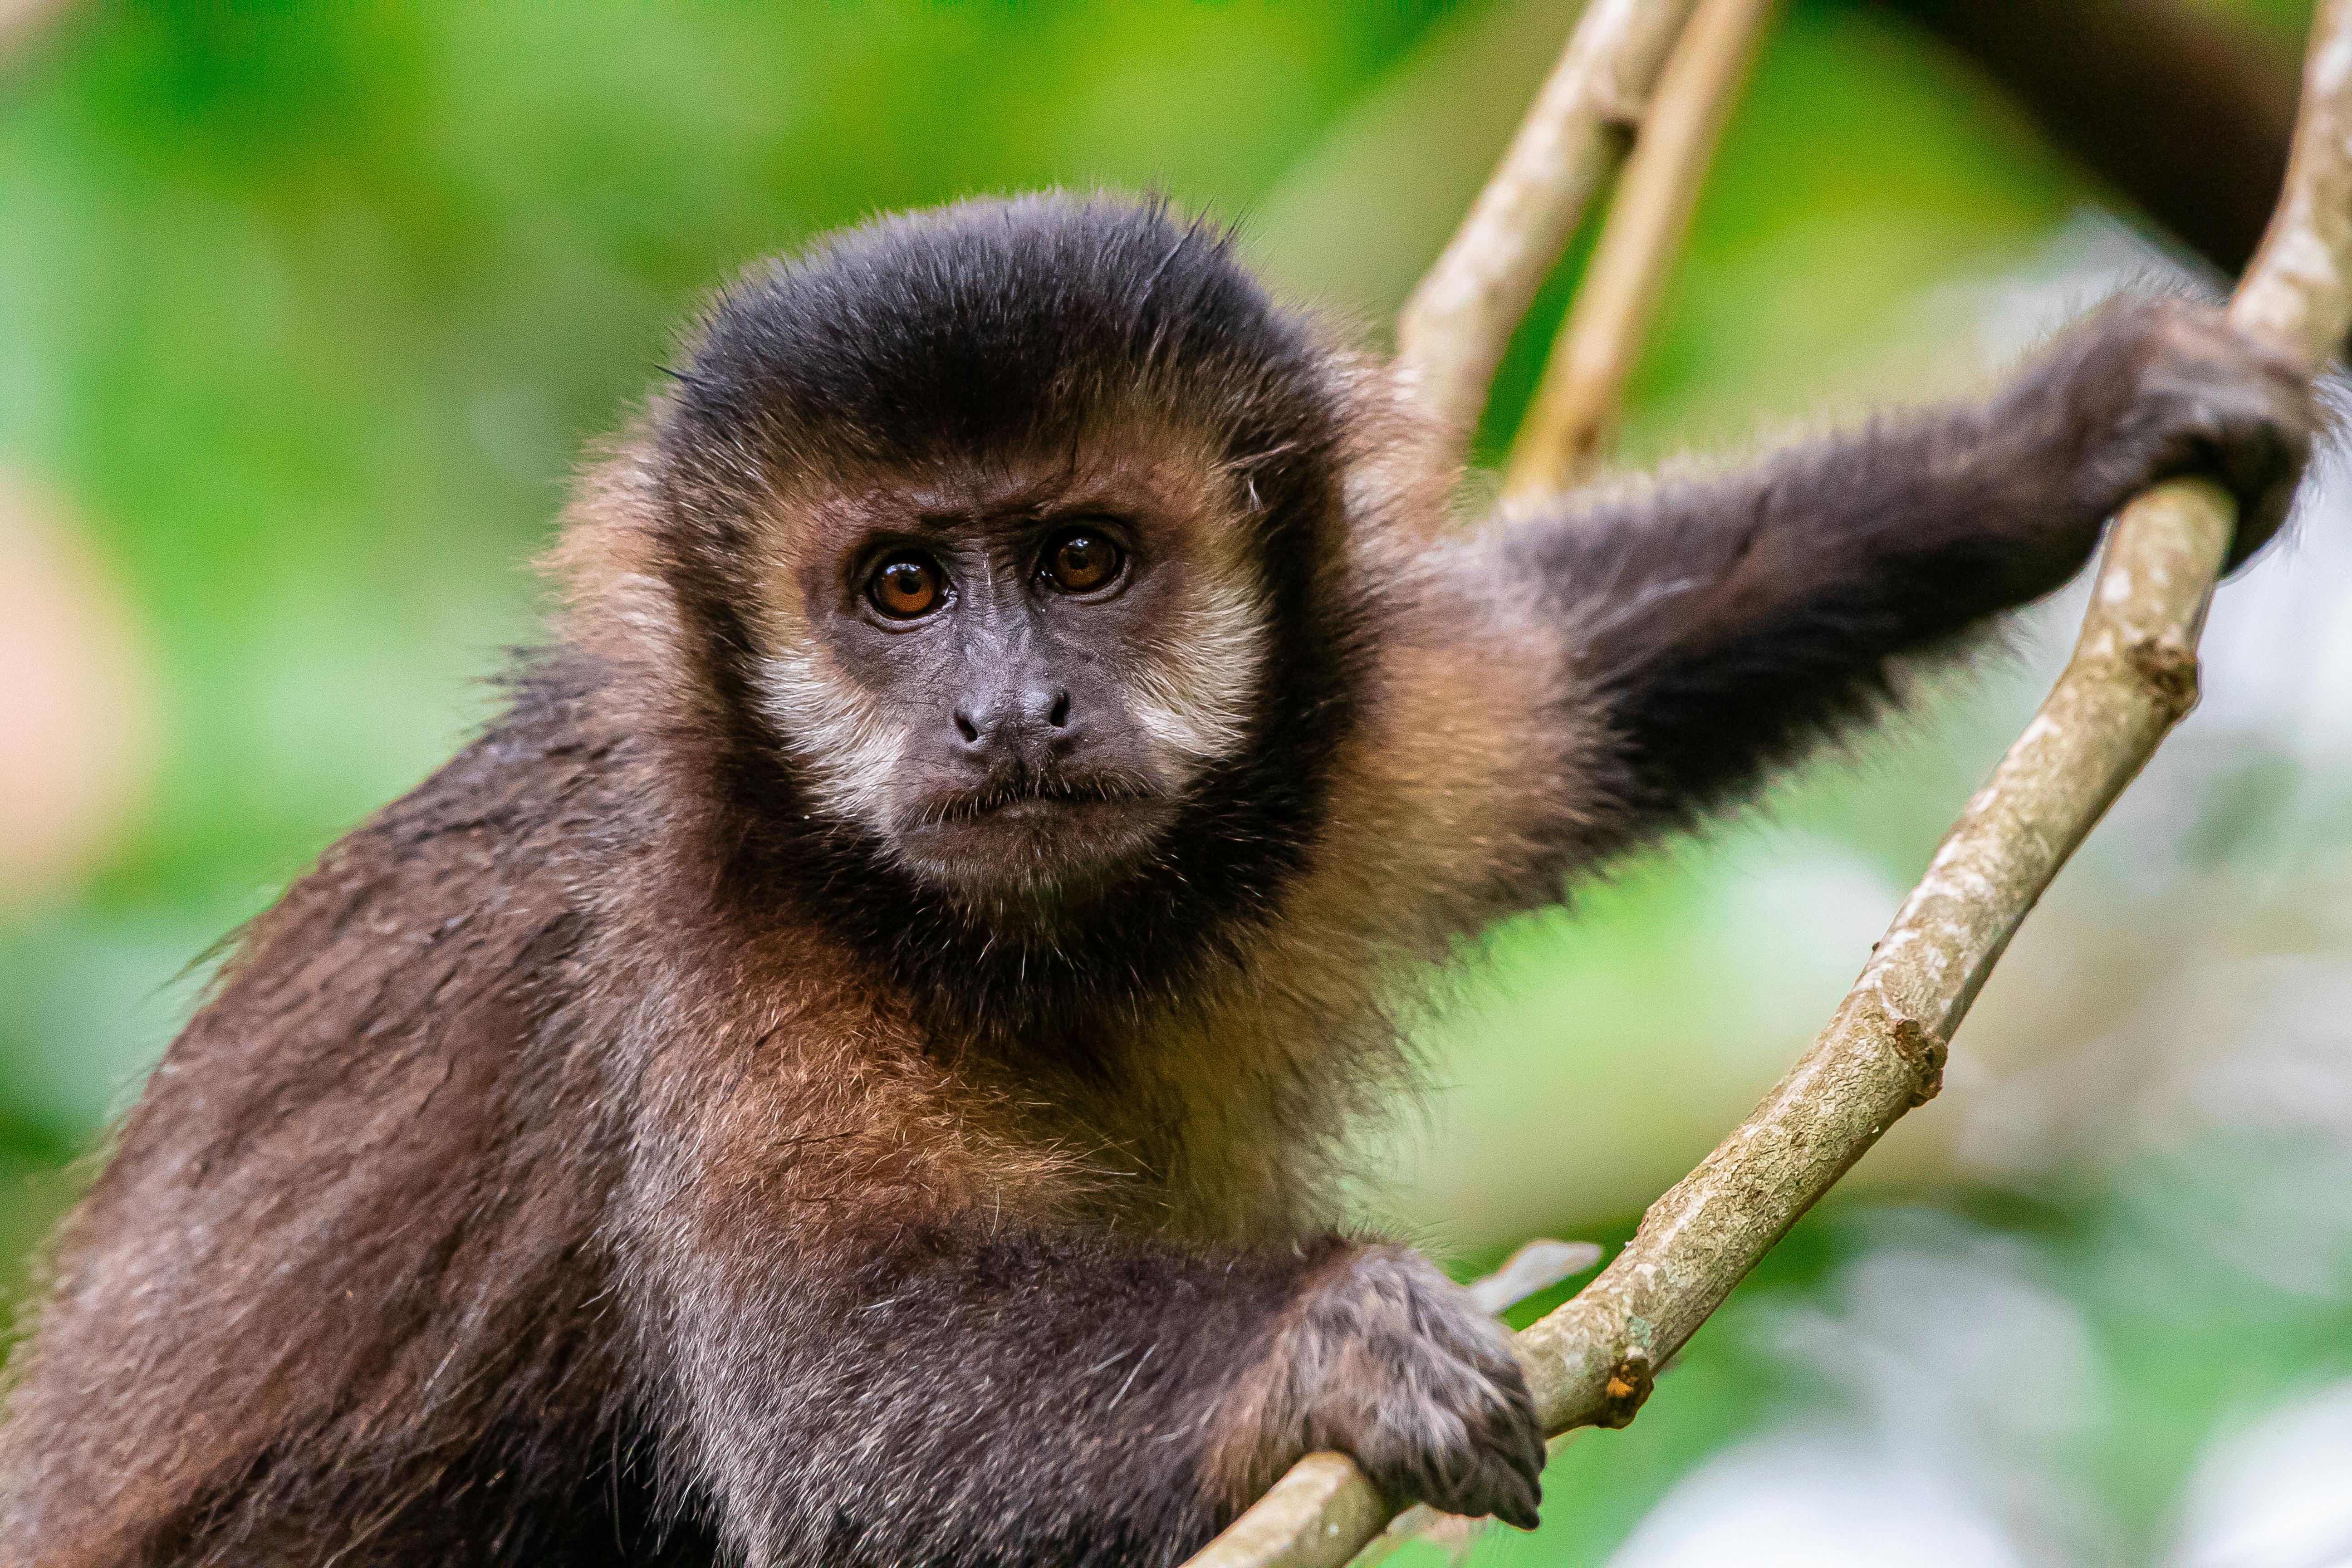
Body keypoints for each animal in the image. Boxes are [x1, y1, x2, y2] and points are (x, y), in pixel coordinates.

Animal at [0, 192, 2314, 1568]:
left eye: (1086, 557)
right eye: (901, 586)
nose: (1007, 708)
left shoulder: (1374, 734)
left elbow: (1586, 680)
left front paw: (2056, 444)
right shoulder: (721, 943)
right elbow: (832, 1415)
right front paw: (1326, 1348)